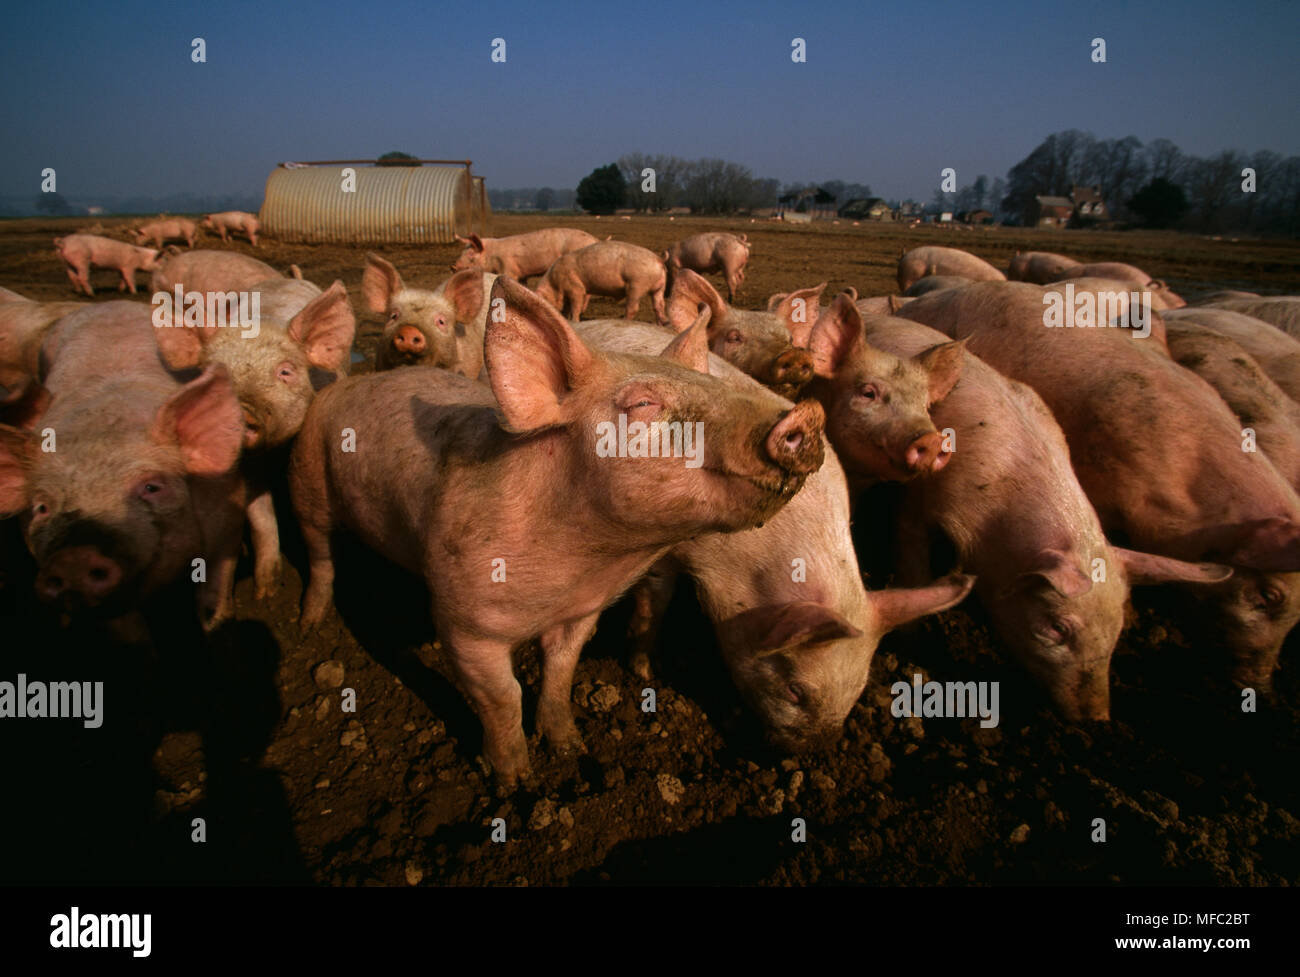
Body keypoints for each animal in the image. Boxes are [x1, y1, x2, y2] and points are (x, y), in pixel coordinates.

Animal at [0, 303, 246, 635]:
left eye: (152, 487)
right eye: (41, 507)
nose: (73, 559)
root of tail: (108, 304)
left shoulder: (226, 518)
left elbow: (214, 596)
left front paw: (217, 629)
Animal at [451, 228, 599, 280]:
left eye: (471, 254)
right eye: (462, 251)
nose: (453, 267)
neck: (492, 255)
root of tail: (595, 240)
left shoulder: (509, 268)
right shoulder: (522, 275)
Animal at [534, 240, 668, 325]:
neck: (554, 283)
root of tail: (659, 259)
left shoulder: (576, 288)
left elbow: (575, 306)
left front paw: (574, 321)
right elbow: (567, 308)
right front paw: (567, 318)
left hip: (637, 285)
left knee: (633, 308)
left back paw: (624, 321)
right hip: (659, 287)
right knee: (659, 305)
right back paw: (662, 324)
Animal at [864, 315, 1229, 720]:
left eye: (1118, 630)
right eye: (1055, 628)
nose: (1097, 719)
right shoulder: (918, 502)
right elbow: (912, 560)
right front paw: (913, 644)